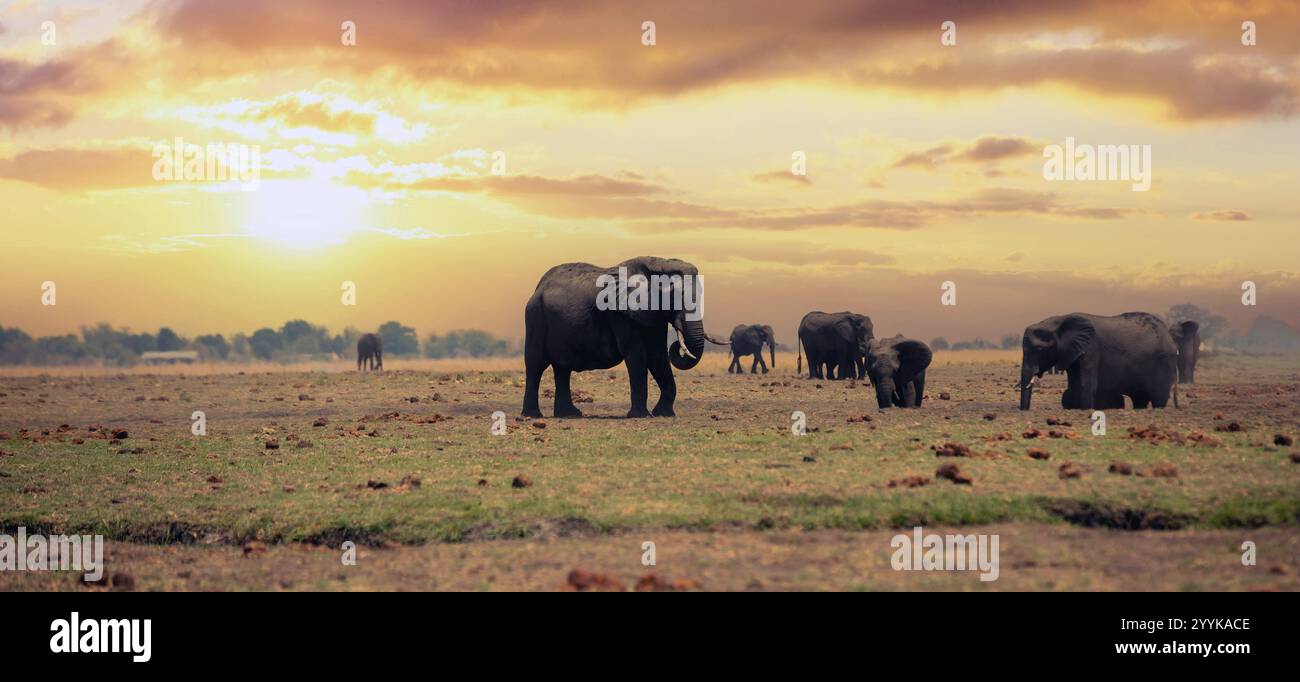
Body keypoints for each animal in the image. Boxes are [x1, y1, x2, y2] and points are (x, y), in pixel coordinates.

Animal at [521, 256, 728, 418]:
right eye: (675, 295)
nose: (679, 343)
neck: (658, 263)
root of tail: (537, 288)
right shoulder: (620, 313)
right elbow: (637, 354)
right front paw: (641, 416)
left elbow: (658, 355)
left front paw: (664, 414)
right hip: (535, 317)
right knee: (535, 365)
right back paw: (532, 416)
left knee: (562, 368)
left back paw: (570, 415)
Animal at [1019, 312, 1178, 410]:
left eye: (1039, 349)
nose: (1024, 411)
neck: (1060, 320)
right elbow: (1073, 389)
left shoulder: (1091, 348)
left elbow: (1087, 385)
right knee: (1140, 399)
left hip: (1164, 361)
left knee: (1159, 397)